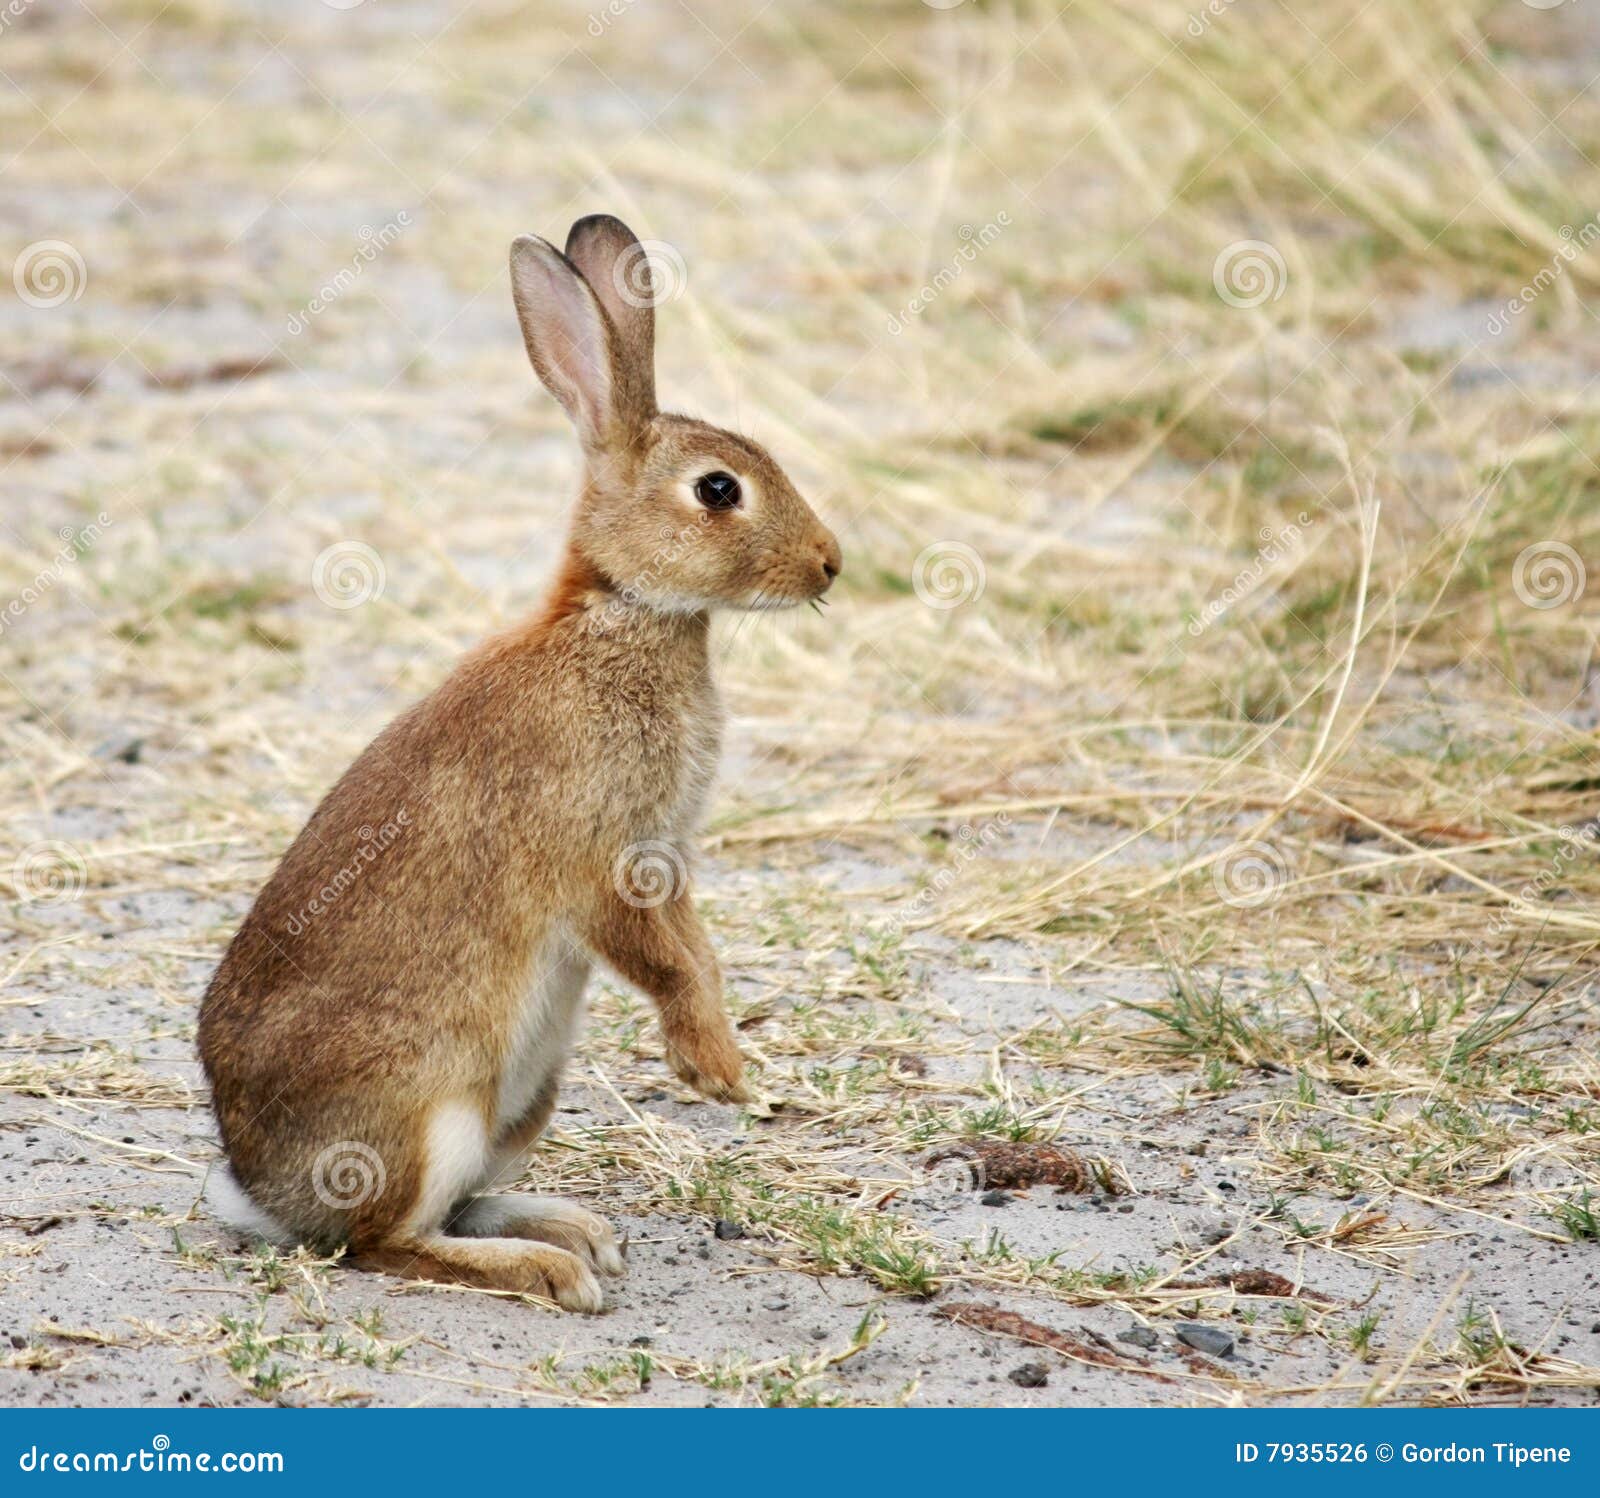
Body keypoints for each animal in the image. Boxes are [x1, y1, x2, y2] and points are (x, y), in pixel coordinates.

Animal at [198, 215, 842, 1312]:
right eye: (719, 489)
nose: (831, 563)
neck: (624, 615)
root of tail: (261, 1185)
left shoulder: (667, 859)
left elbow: (699, 953)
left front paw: (720, 1059)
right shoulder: (598, 860)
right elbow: (663, 960)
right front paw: (713, 1070)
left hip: (527, 1097)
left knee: (448, 1212)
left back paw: (577, 1231)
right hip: (435, 1104)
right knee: (386, 1241)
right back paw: (552, 1270)